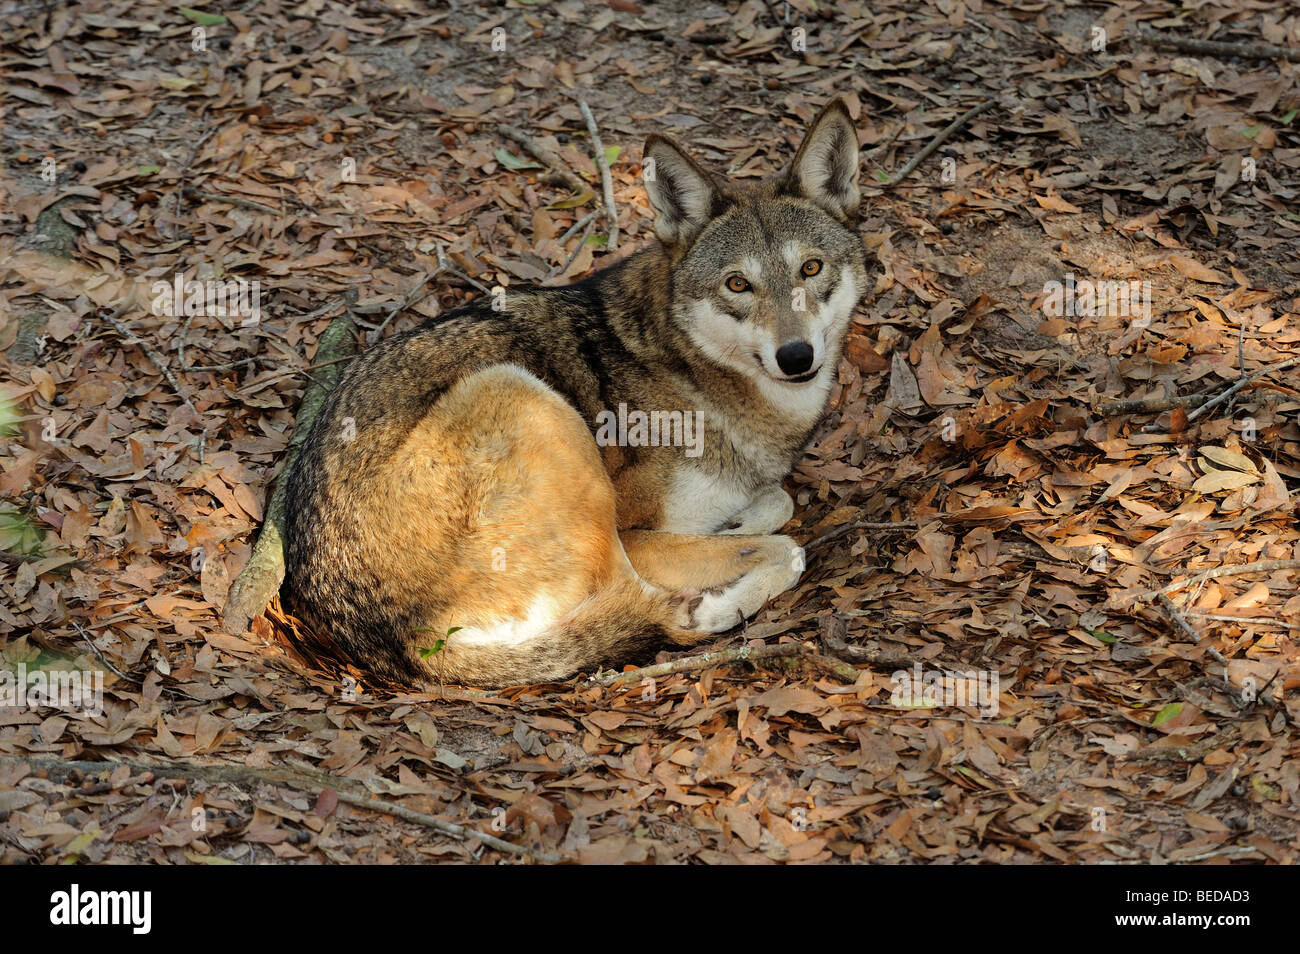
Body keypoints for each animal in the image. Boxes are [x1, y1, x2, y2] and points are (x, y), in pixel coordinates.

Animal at [280, 98, 867, 687]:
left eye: (811, 268)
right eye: (738, 284)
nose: (797, 357)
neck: (690, 366)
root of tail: (406, 646)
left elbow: (776, 498)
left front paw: (736, 518)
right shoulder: (637, 530)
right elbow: (779, 537)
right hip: (526, 401)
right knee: (676, 604)